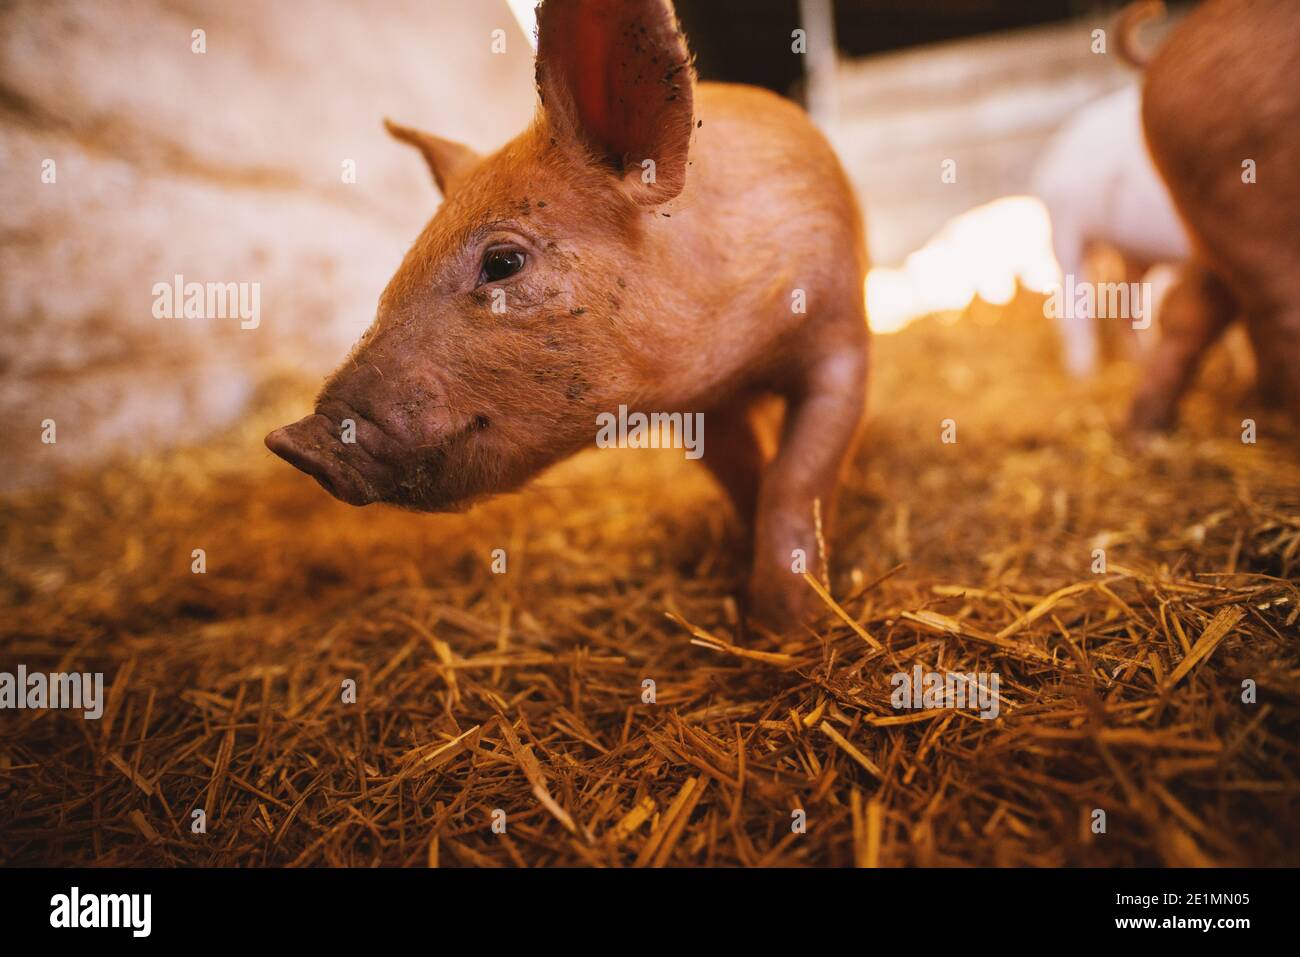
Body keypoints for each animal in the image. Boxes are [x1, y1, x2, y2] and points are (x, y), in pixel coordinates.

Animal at [264, 0, 870, 632]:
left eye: (503, 262)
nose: (292, 442)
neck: (733, 360)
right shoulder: (702, 405)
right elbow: (747, 475)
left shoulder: (841, 334)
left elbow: (795, 476)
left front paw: (785, 626)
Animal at [1129, 0, 1300, 431]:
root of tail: (1161, 60)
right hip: (1251, 204)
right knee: (1281, 317)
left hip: (1210, 224)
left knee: (1192, 309)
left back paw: (1147, 434)